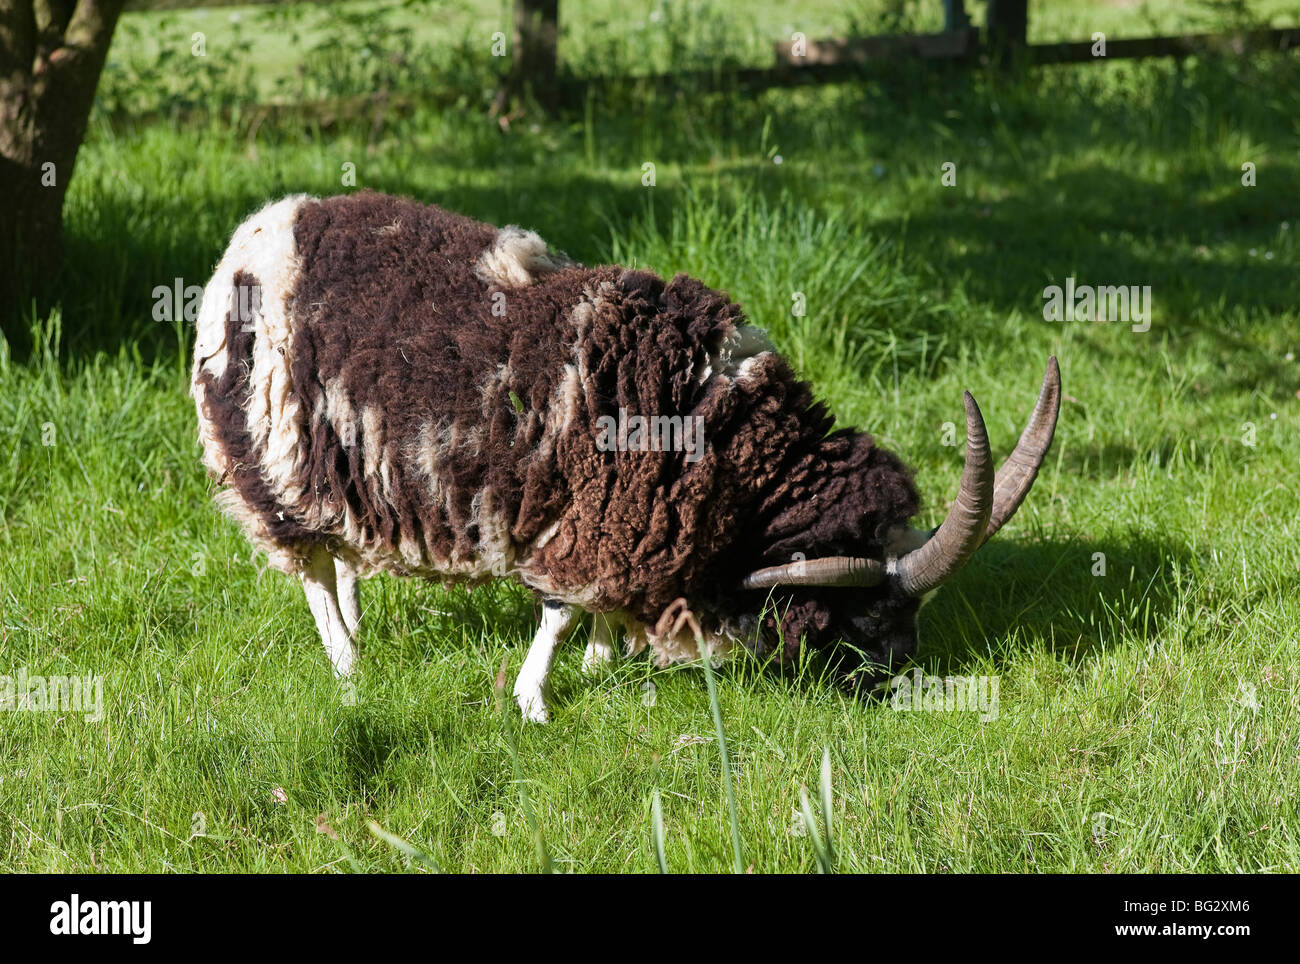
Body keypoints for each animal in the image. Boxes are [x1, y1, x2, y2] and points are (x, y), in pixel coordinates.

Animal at [191, 191, 1060, 721]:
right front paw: (536, 700)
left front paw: (603, 660)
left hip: (331, 470)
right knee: (308, 565)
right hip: (267, 458)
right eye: (865, 616)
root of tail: (250, 236)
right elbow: (559, 606)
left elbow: (596, 602)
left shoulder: (635, 519)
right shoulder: (597, 513)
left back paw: (358, 627)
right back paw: (347, 665)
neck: (734, 441)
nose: (896, 684)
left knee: (337, 555)